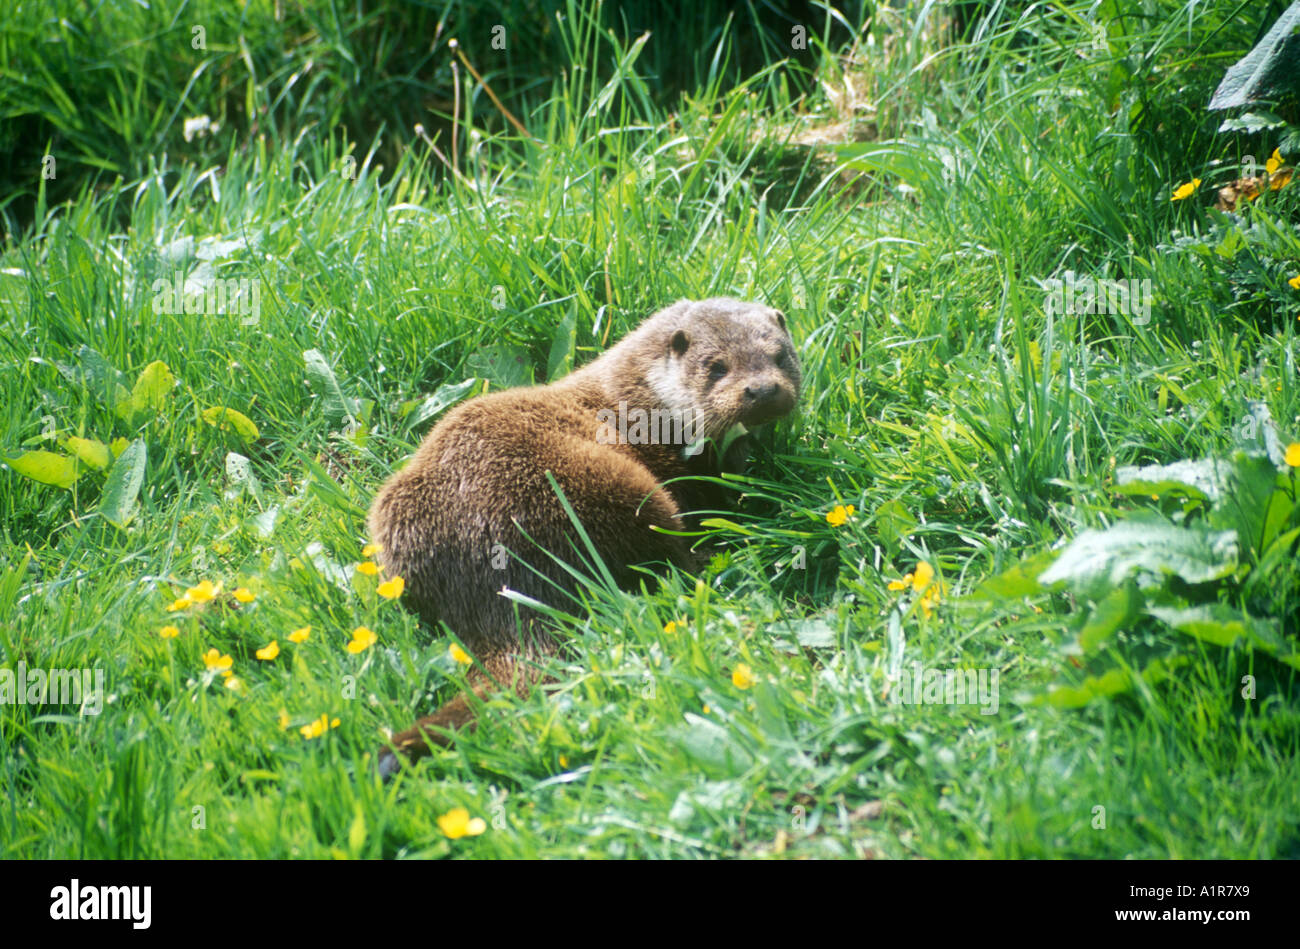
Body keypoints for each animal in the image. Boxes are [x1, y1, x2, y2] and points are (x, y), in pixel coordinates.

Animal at [368, 297, 801, 776]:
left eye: (780, 355)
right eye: (716, 366)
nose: (762, 390)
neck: (643, 401)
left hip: (394, 522)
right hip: (613, 487)